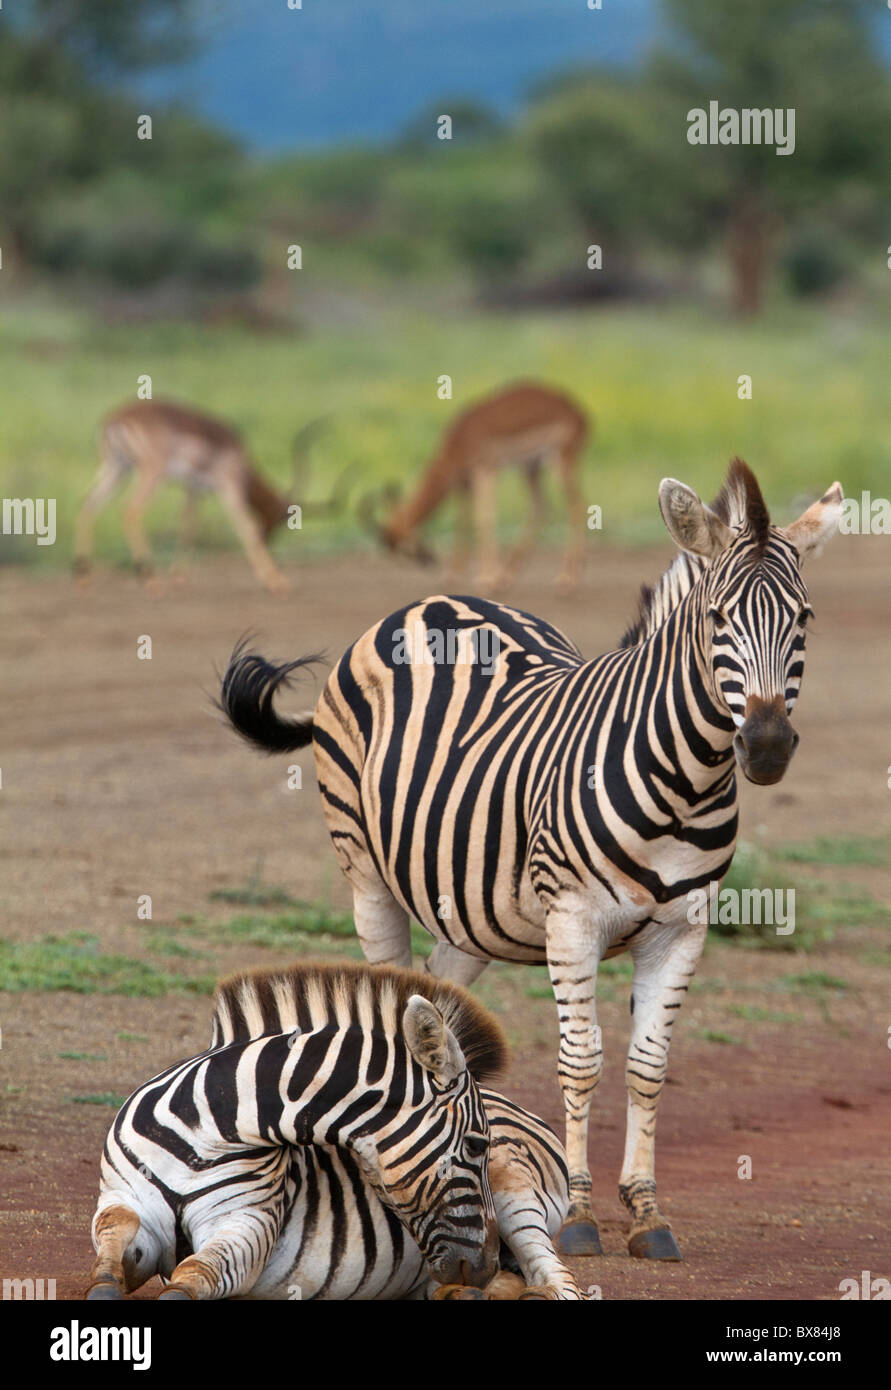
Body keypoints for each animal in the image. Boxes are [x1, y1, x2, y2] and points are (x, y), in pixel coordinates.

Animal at [74, 399, 346, 594]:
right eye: (278, 520)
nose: (267, 539)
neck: (238, 456)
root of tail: (115, 419)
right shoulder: (228, 488)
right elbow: (244, 528)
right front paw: (276, 582)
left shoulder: (194, 490)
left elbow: (188, 525)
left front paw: (179, 576)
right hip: (151, 474)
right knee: (131, 510)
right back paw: (150, 578)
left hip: (117, 468)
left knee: (88, 503)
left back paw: (85, 577)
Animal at [87, 960, 506, 1300]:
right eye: (475, 1145)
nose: (488, 1266)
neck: (204, 1130)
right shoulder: (124, 1200)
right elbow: (113, 1243)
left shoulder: (246, 1225)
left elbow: (191, 1272)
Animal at [219, 460, 842, 1262]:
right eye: (717, 621)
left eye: (804, 620)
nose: (765, 747)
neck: (686, 778)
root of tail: (428, 600)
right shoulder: (572, 919)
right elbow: (583, 1060)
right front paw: (577, 1214)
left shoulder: (685, 928)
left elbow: (648, 1066)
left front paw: (647, 1212)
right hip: (364, 871)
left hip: (463, 907)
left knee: (442, 1004)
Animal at [359, 382, 590, 593]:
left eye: (404, 550)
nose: (430, 561)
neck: (461, 438)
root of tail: (579, 413)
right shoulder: (464, 483)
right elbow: (463, 522)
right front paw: (454, 576)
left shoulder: (485, 472)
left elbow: (485, 519)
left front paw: (486, 579)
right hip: (530, 469)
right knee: (541, 509)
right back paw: (507, 576)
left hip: (561, 461)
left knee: (577, 507)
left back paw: (567, 579)